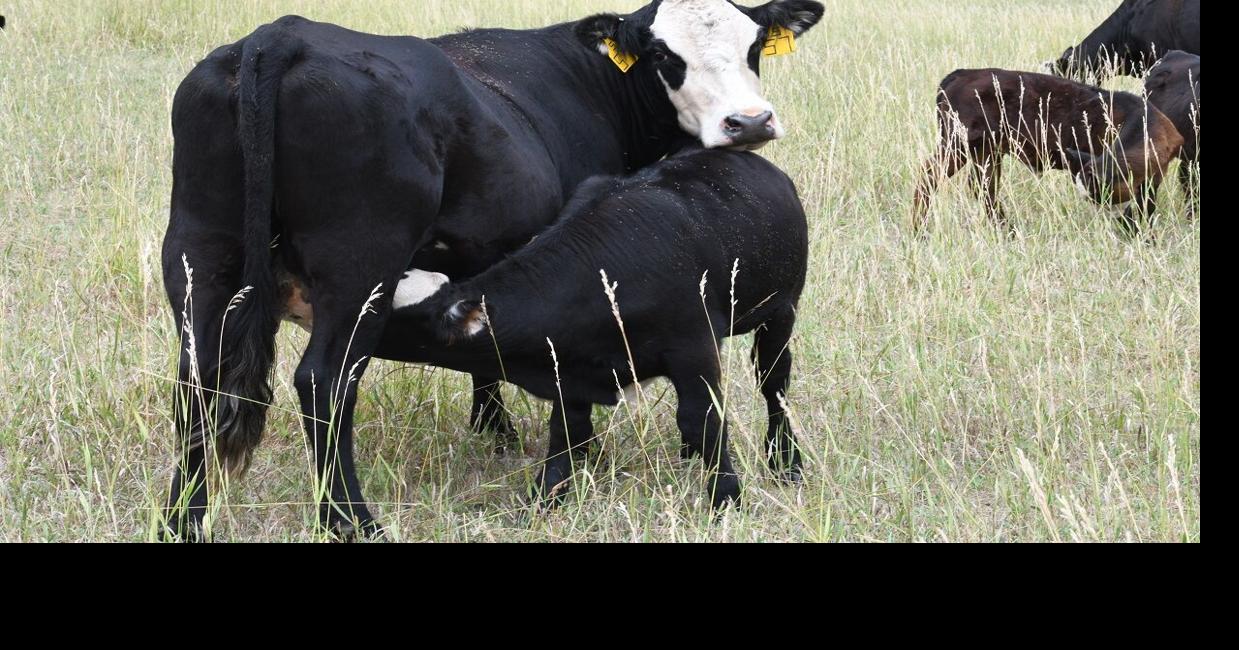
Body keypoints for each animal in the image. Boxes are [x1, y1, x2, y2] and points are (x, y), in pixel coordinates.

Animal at [382, 148, 808, 510]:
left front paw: (726, 497)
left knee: (774, 383)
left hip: (781, 312)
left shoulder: (694, 346)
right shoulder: (567, 367)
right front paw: (545, 498)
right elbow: (566, 430)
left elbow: (702, 419)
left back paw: (786, 462)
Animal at [913, 69, 1184, 234]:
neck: (1142, 123)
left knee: (984, 187)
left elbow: (1146, 204)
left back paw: (1007, 230)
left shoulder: (1153, 178)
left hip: (987, 149)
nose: (1118, 222)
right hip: (958, 143)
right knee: (929, 175)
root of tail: (964, 74)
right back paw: (919, 229)